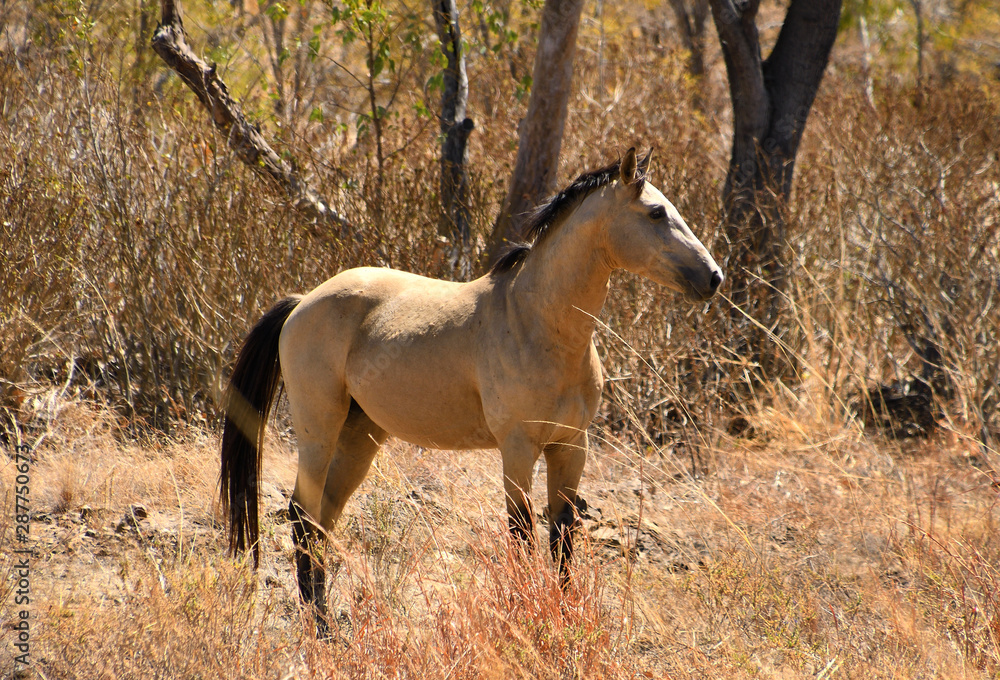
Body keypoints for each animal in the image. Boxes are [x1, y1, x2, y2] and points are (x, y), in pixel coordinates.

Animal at [219, 147, 723, 636]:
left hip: (359, 437)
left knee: (321, 522)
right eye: (656, 212)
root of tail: (302, 302)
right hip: (319, 430)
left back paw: (324, 621)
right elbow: (522, 534)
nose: (713, 277)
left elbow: (562, 538)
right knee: (302, 518)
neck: (538, 323)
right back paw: (322, 629)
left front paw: (564, 620)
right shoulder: (518, 448)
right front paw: (529, 620)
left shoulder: (570, 446)